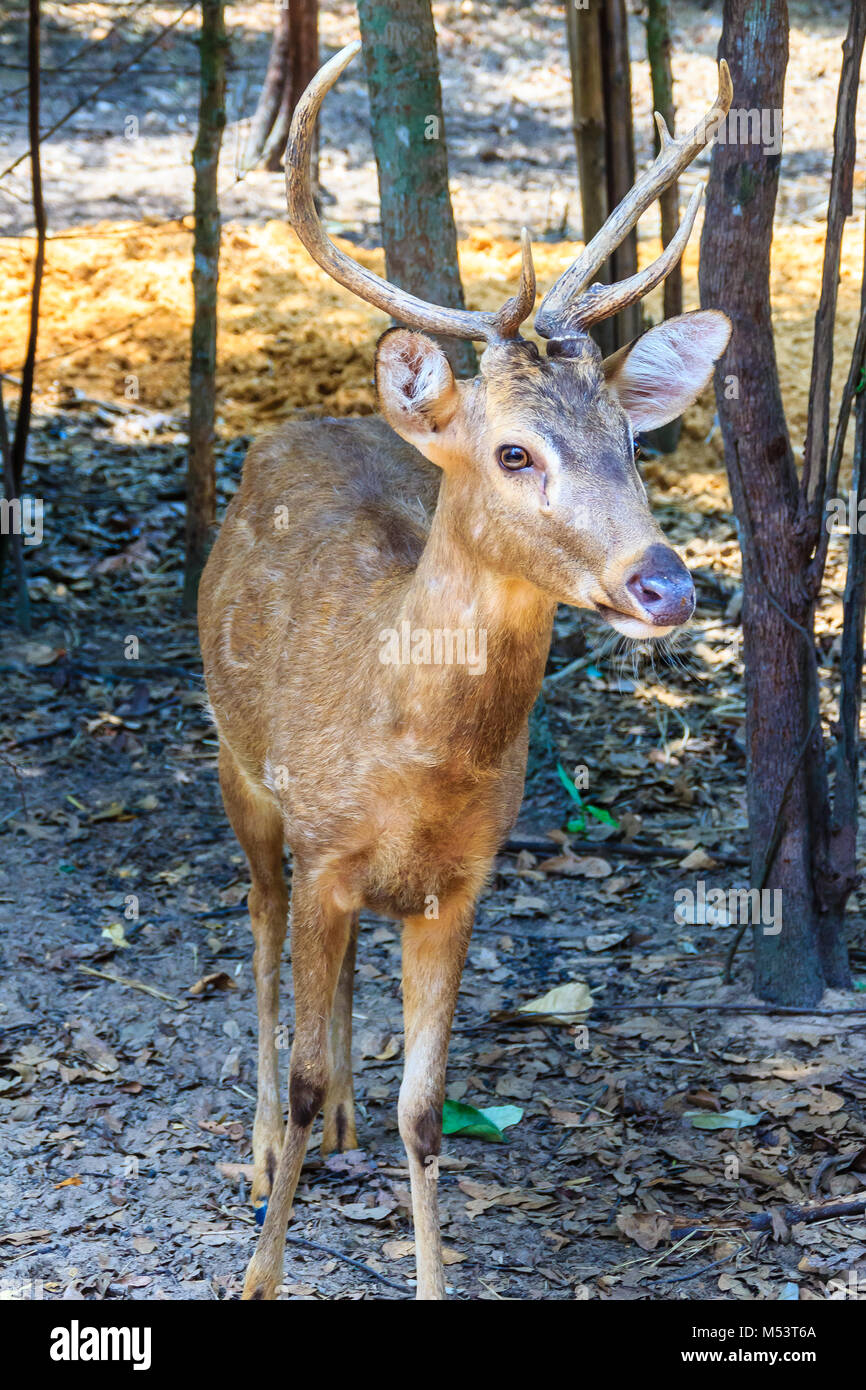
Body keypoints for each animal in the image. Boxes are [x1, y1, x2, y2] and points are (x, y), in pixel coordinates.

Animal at [198, 42, 733, 1300]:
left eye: (630, 444)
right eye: (513, 452)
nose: (663, 585)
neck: (411, 751)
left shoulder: (464, 878)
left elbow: (427, 1108)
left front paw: (427, 1262)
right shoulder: (322, 841)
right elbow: (301, 1059)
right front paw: (257, 1272)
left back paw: (340, 1120)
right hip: (234, 761)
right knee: (256, 927)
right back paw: (261, 1148)